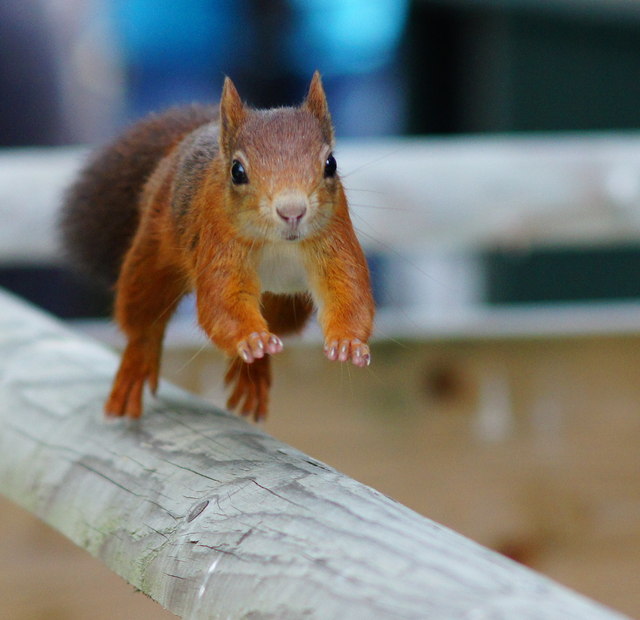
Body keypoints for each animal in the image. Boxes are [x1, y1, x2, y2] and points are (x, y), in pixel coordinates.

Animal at [60, 72, 375, 421]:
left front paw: (347, 342)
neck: (279, 244)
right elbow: (222, 301)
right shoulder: (218, 240)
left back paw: (251, 375)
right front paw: (251, 340)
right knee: (143, 320)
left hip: (284, 304)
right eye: (237, 171)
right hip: (151, 257)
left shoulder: (335, 237)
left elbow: (348, 289)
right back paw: (136, 366)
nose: (292, 211)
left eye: (331, 163)